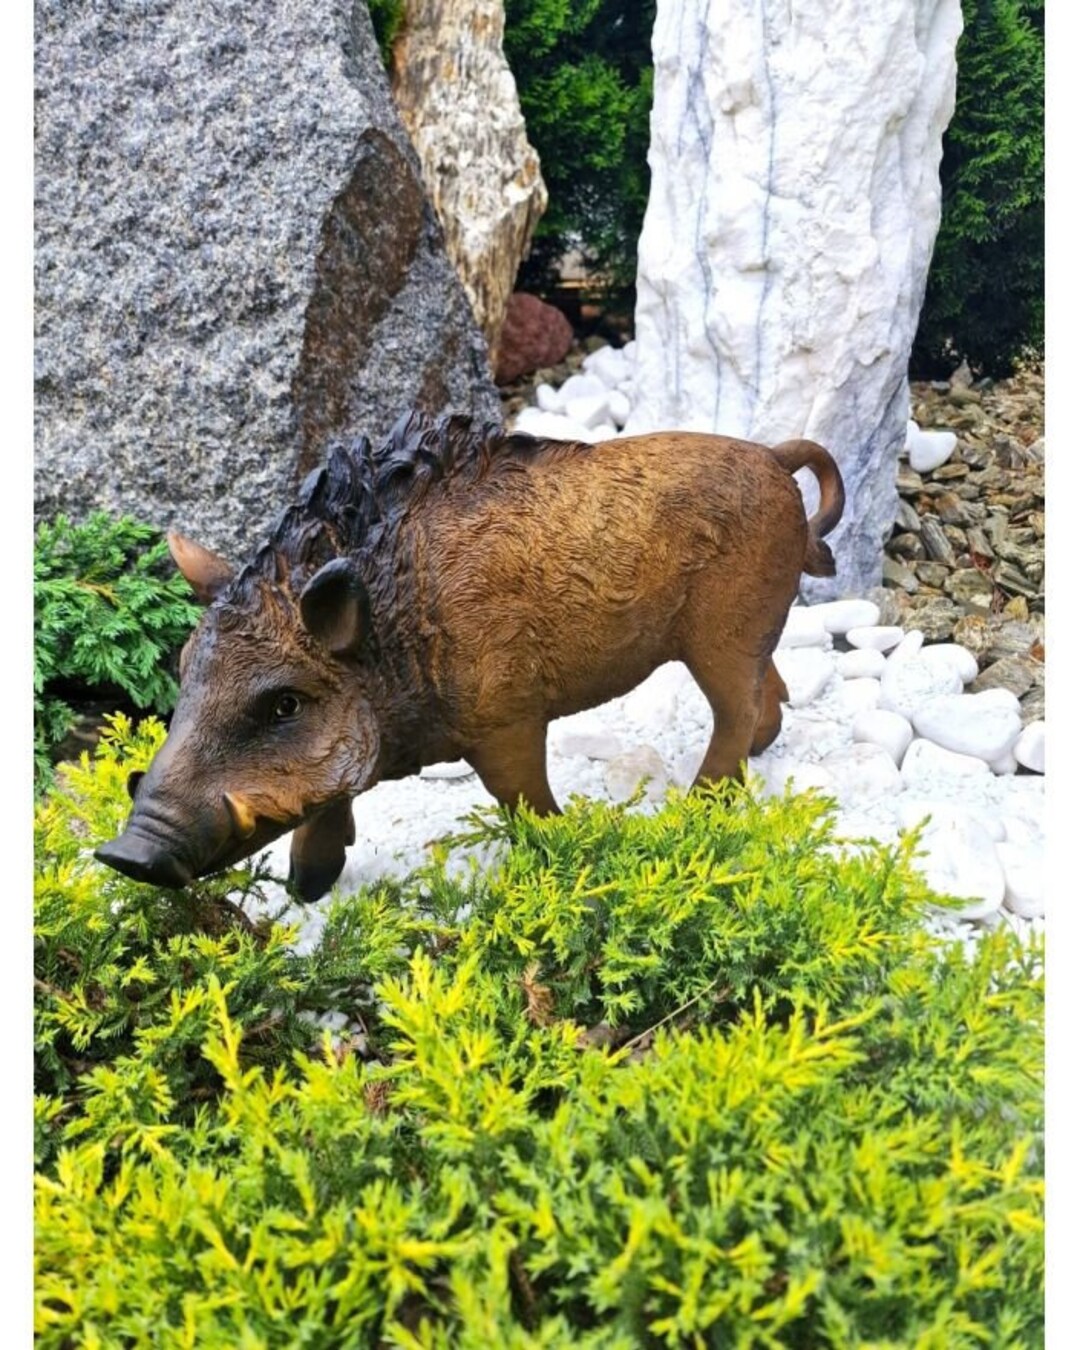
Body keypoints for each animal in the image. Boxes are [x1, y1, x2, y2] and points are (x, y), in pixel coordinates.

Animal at [95, 411, 844, 901]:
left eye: (284, 702)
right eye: (184, 671)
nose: (123, 854)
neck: (395, 630)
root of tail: (775, 459)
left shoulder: (509, 717)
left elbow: (519, 798)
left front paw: (557, 852)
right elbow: (328, 803)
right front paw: (307, 891)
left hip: (723, 631)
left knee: (735, 706)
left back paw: (699, 806)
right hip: (743, 626)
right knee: (765, 691)